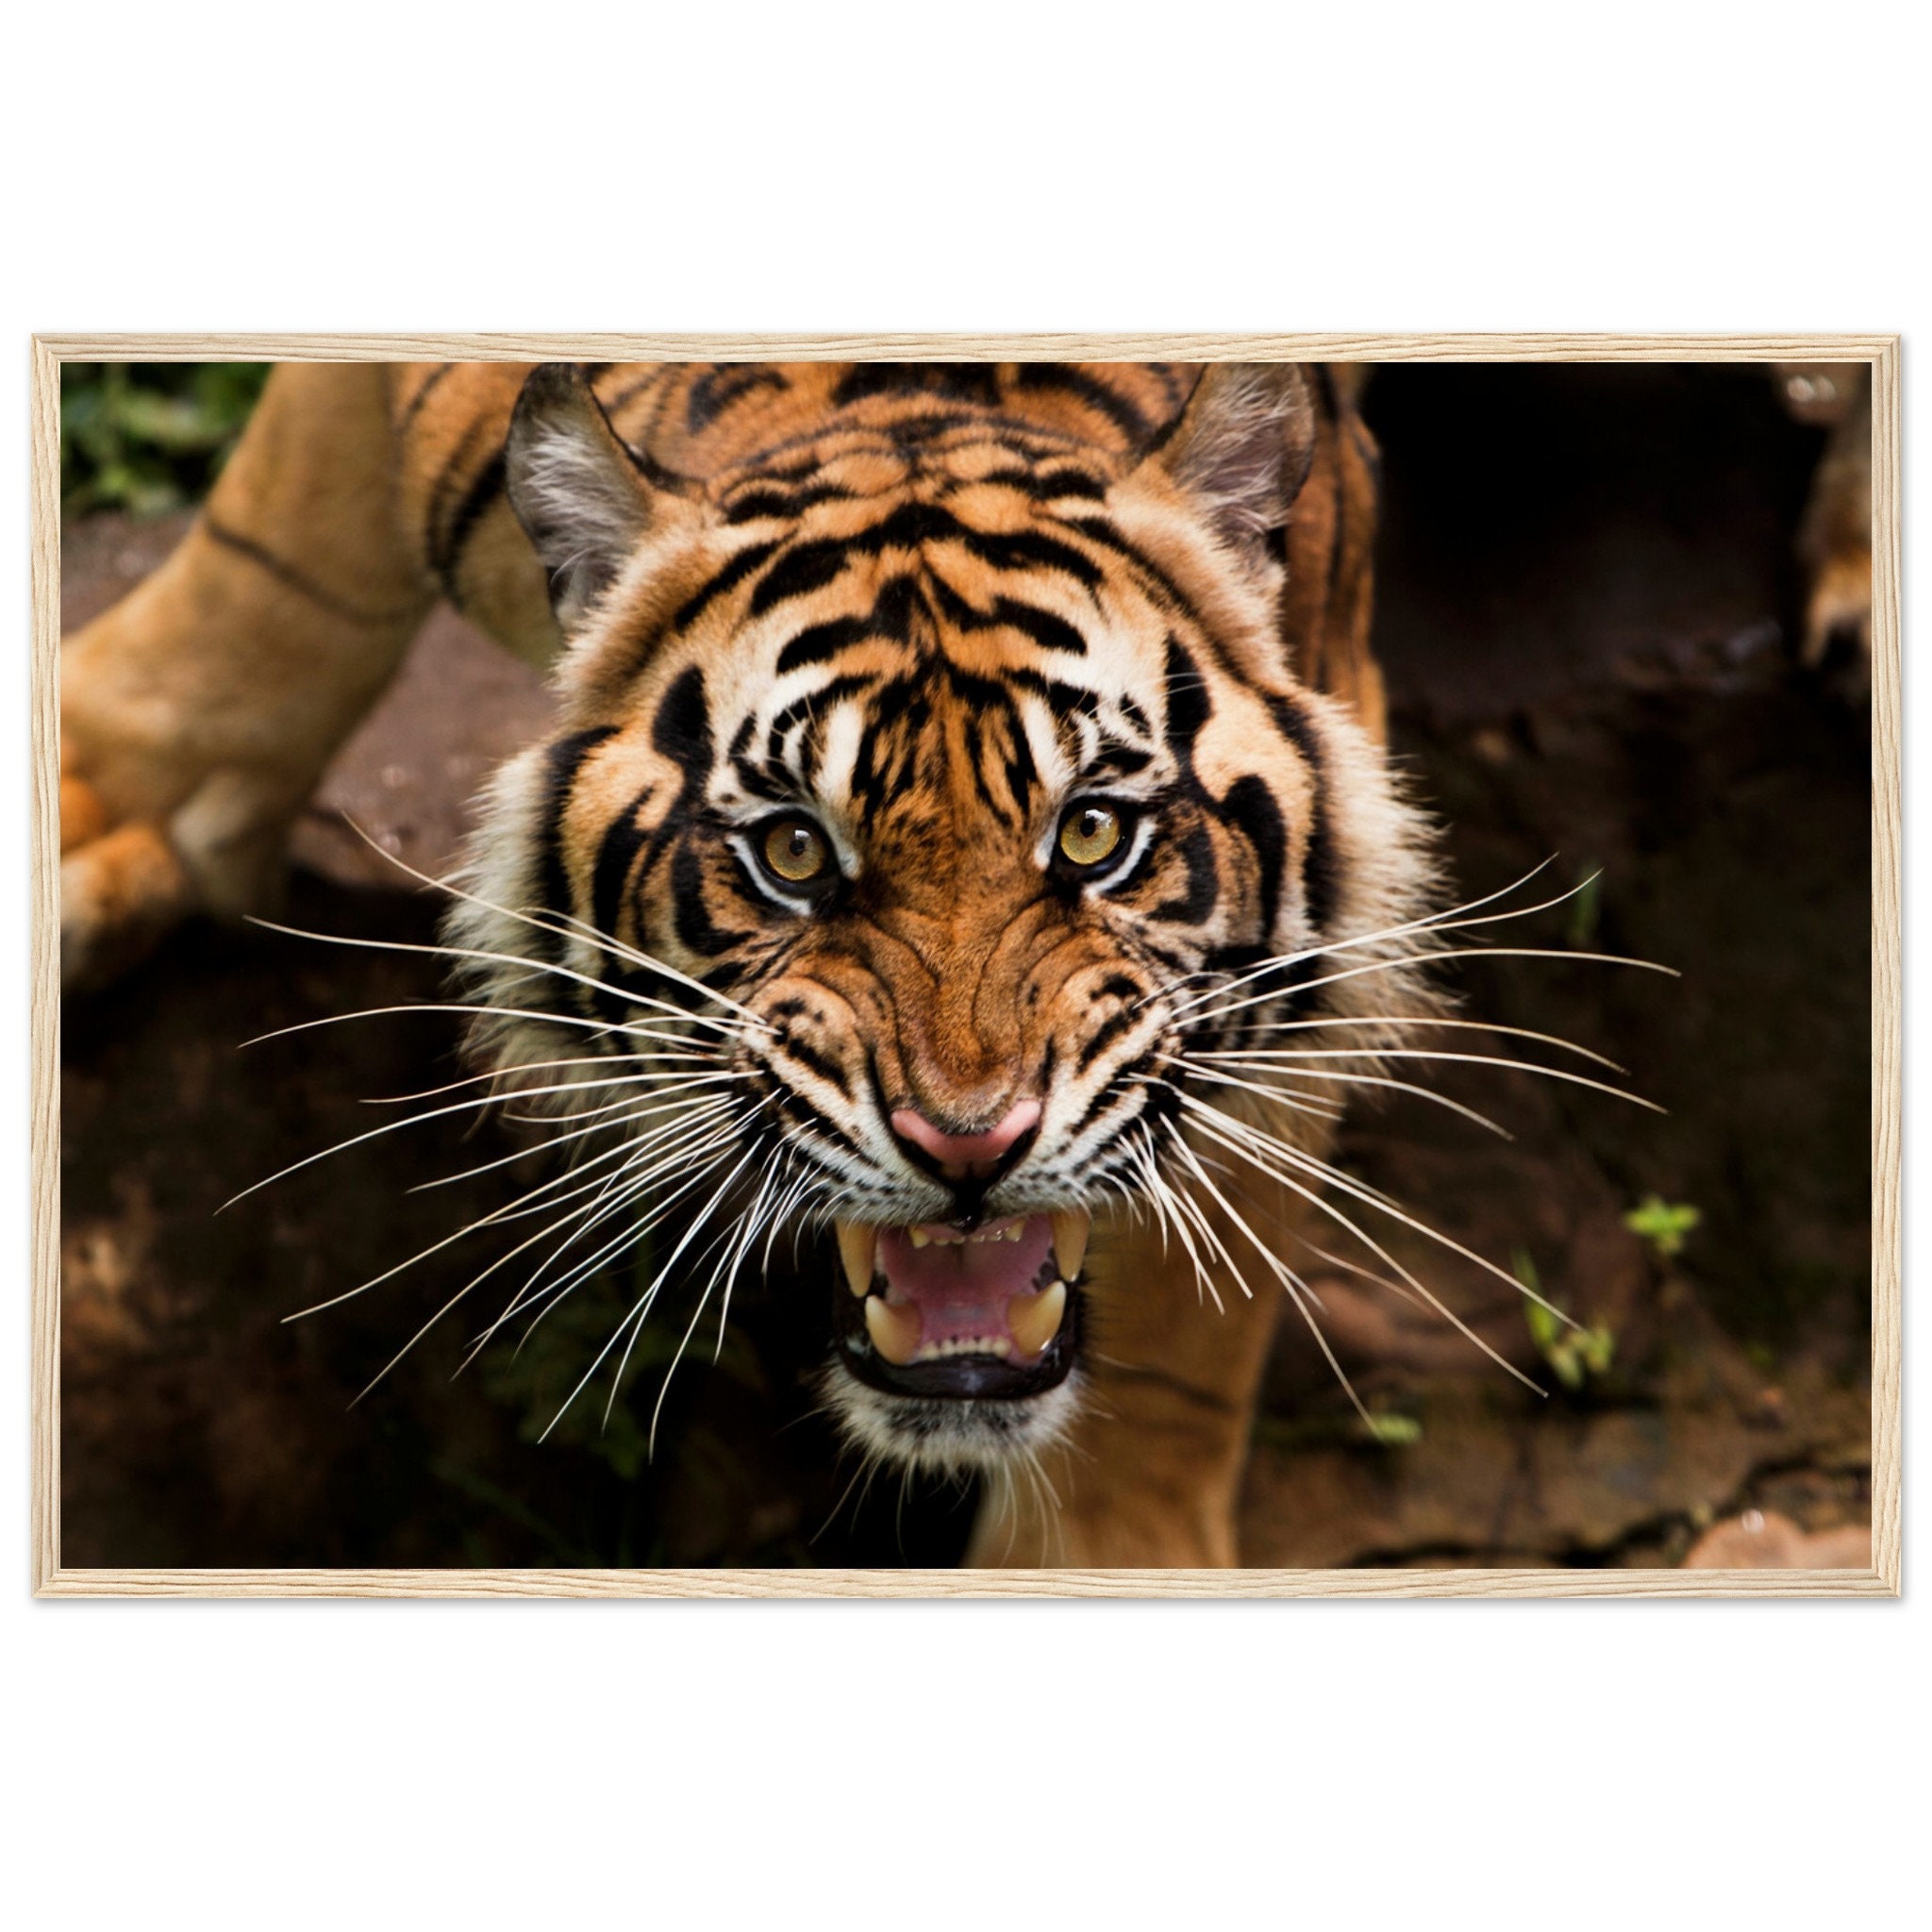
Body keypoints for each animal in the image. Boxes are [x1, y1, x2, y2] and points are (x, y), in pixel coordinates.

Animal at [60, 358, 1492, 1566]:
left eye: (1092, 831)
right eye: (795, 851)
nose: (970, 1144)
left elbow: (1200, 1296)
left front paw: (1109, 1560)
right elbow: (275, 565)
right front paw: (93, 815)